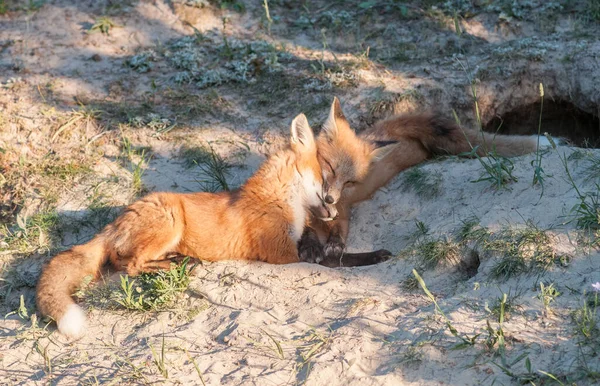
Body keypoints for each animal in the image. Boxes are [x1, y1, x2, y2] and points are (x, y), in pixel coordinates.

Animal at [36, 113, 390, 340]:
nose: (334, 206)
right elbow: (336, 261)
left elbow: (319, 246)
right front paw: (375, 256)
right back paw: (179, 264)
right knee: (127, 264)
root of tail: (117, 220)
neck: (279, 199)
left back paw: (180, 261)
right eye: (326, 175)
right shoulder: (283, 256)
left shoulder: (296, 243)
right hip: (170, 222)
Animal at [300, 98, 548, 264]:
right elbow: (305, 228)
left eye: (350, 182)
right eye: (330, 167)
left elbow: (338, 230)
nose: (329, 198)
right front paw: (310, 245)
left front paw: (333, 245)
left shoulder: (342, 208)